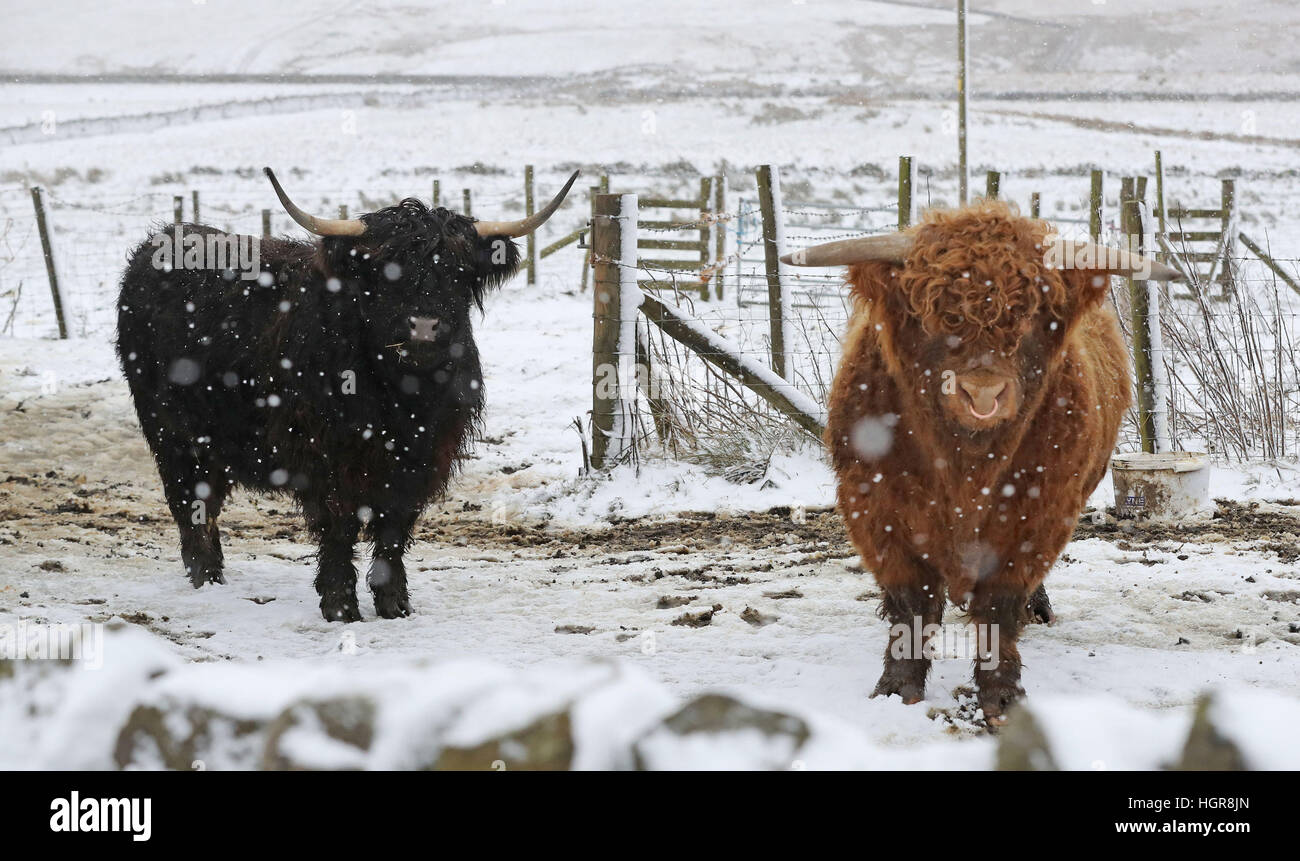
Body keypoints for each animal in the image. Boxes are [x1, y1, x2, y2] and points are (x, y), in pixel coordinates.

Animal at [116, 168, 578, 622]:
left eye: (457, 271)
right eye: (387, 270)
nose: (424, 327)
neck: (403, 397)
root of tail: (163, 240)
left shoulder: (423, 458)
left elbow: (394, 529)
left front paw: (394, 604)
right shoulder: (326, 457)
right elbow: (339, 528)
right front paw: (340, 606)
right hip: (171, 434)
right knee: (190, 505)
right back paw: (207, 579)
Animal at [782, 200, 1179, 723]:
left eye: (1030, 316)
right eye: (935, 315)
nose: (983, 393)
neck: (966, 463)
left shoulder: (1039, 513)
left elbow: (1000, 606)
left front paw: (1002, 696)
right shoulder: (874, 504)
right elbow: (910, 602)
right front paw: (897, 689)